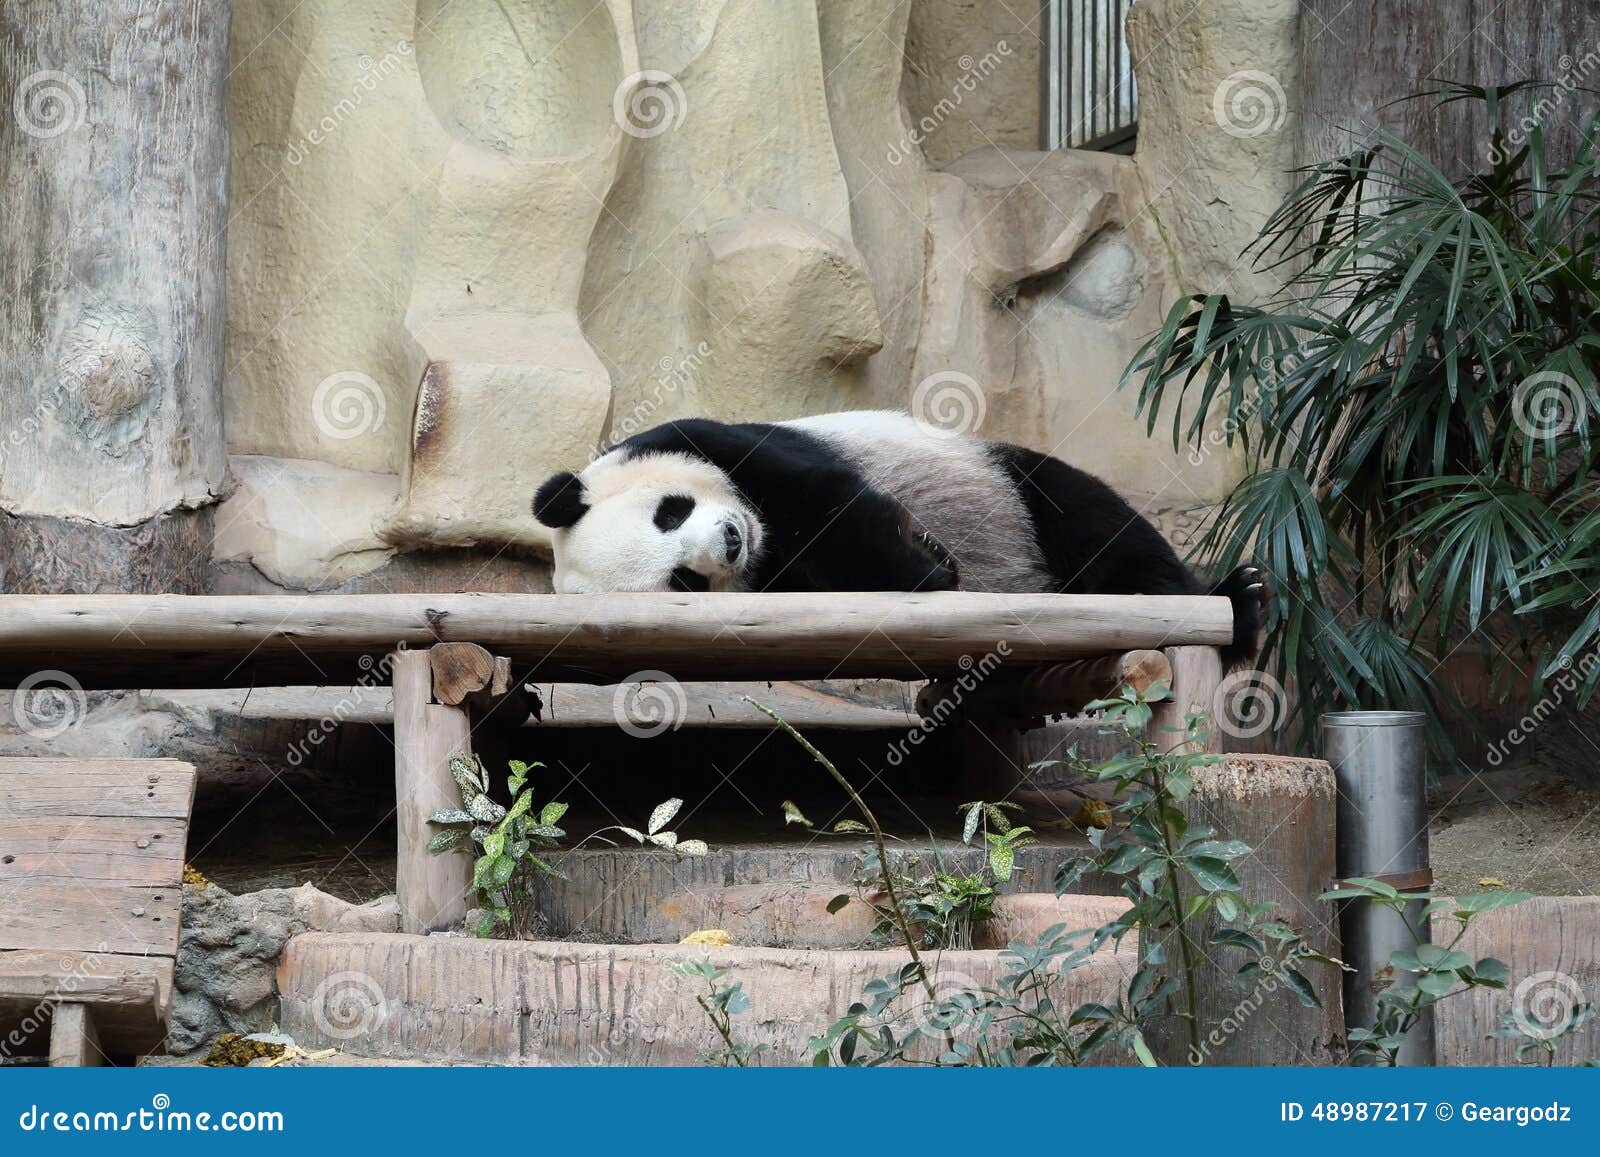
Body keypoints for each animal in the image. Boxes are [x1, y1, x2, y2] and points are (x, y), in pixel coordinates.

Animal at [533, 410, 1266, 664]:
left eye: (671, 511)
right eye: (681, 579)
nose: (732, 542)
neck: (770, 541)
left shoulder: (713, 441)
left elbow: (830, 498)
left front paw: (932, 562)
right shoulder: (780, 576)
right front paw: (932, 567)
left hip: (1003, 482)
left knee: (1093, 521)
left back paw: (1236, 597)